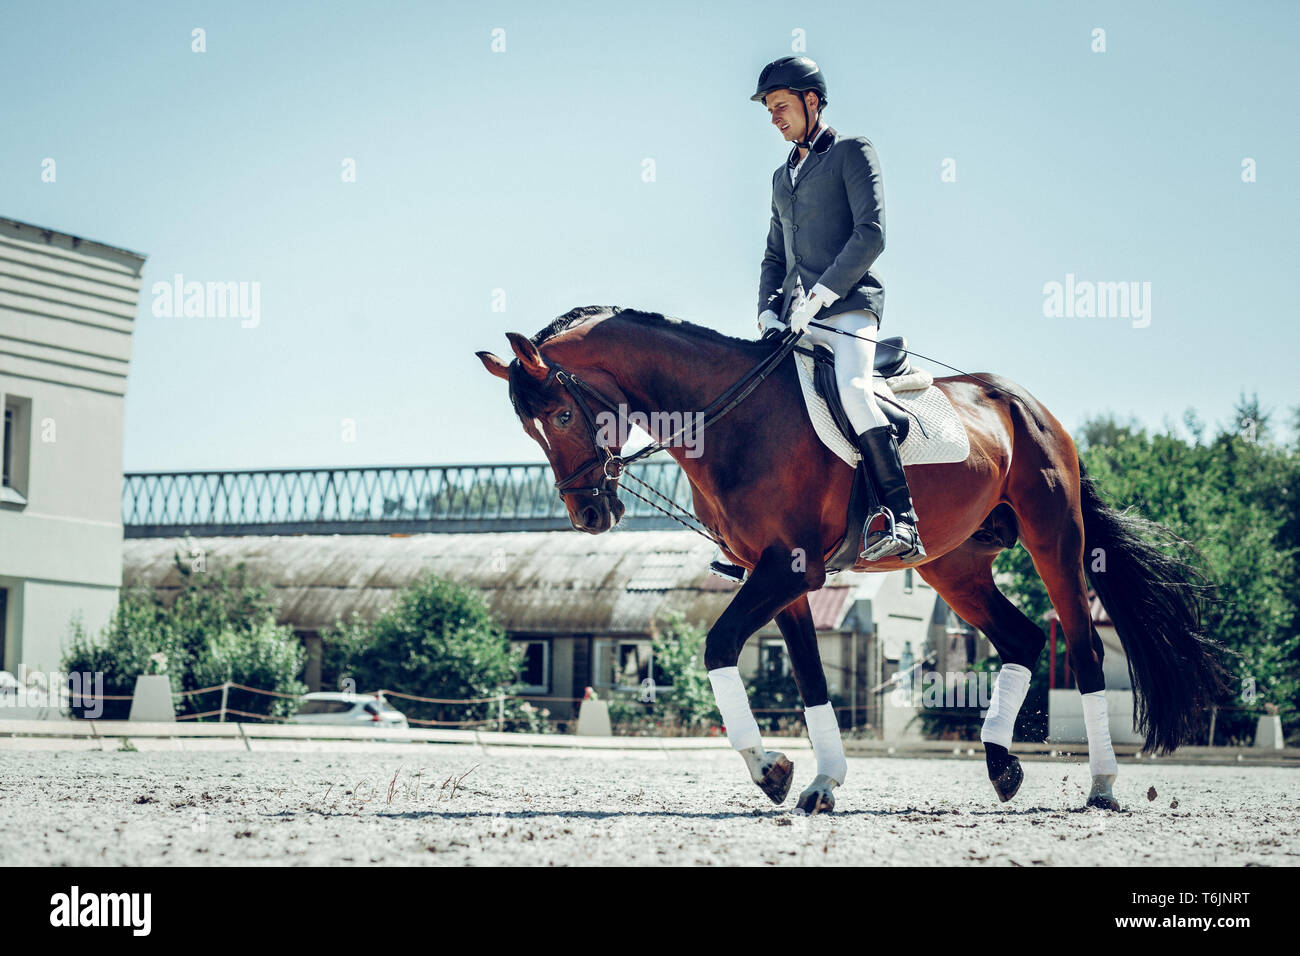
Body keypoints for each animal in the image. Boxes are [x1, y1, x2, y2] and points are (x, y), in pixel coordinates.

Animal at [476, 305, 1227, 814]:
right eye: (528, 429)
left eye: (562, 417)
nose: (588, 515)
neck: (731, 417)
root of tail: (1028, 405)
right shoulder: (783, 577)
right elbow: (809, 677)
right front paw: (814, 780)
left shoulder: (787, 568)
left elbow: (719, 646)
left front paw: (771, 770)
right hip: (952, 564)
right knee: (1018, 637)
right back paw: (1002, 766)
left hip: (1054, 540)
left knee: (1084, 646)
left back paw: (1101, 785)